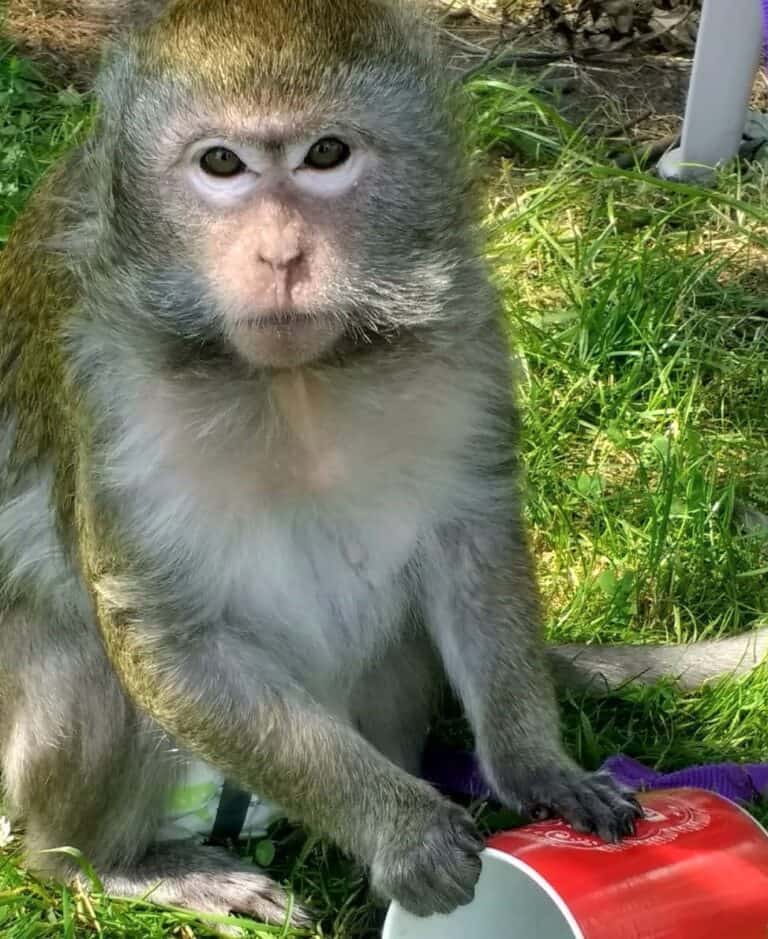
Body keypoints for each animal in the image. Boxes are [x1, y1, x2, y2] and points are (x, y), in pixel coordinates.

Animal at [0, 0, 650, 928]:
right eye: (222, 163)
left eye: (327, 155)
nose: (282, 256)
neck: (295, 381)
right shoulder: (103, 383)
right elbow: (159, 631)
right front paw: (403, 831)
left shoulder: (468, 330)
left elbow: (471, 537)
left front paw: (535, 766)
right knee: (80, 659)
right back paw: (106, 865)